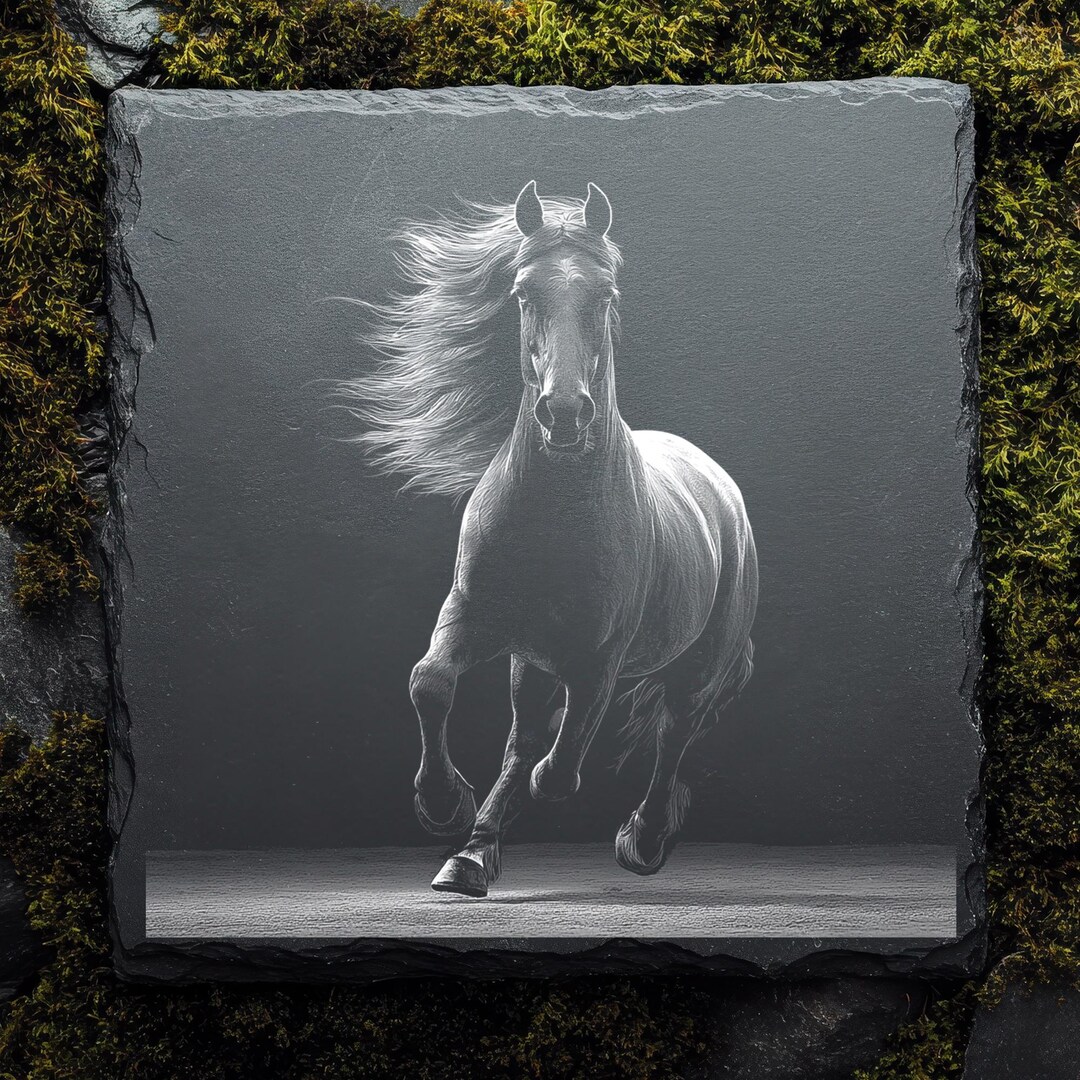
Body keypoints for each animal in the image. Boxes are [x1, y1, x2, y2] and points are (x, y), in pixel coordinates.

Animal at [343, 181, 758, 897]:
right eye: (523, 293)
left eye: (606, 295)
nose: (564, 413)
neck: (554, 523)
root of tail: (715, 480)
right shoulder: (475, 617)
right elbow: (432, 683)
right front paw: (443, 805)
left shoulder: (600, 658)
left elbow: (562, 764)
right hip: (530, 662)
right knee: (527, 738)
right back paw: (469, 857)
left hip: (699, 665)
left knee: (670, 734)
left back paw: (642, 841)